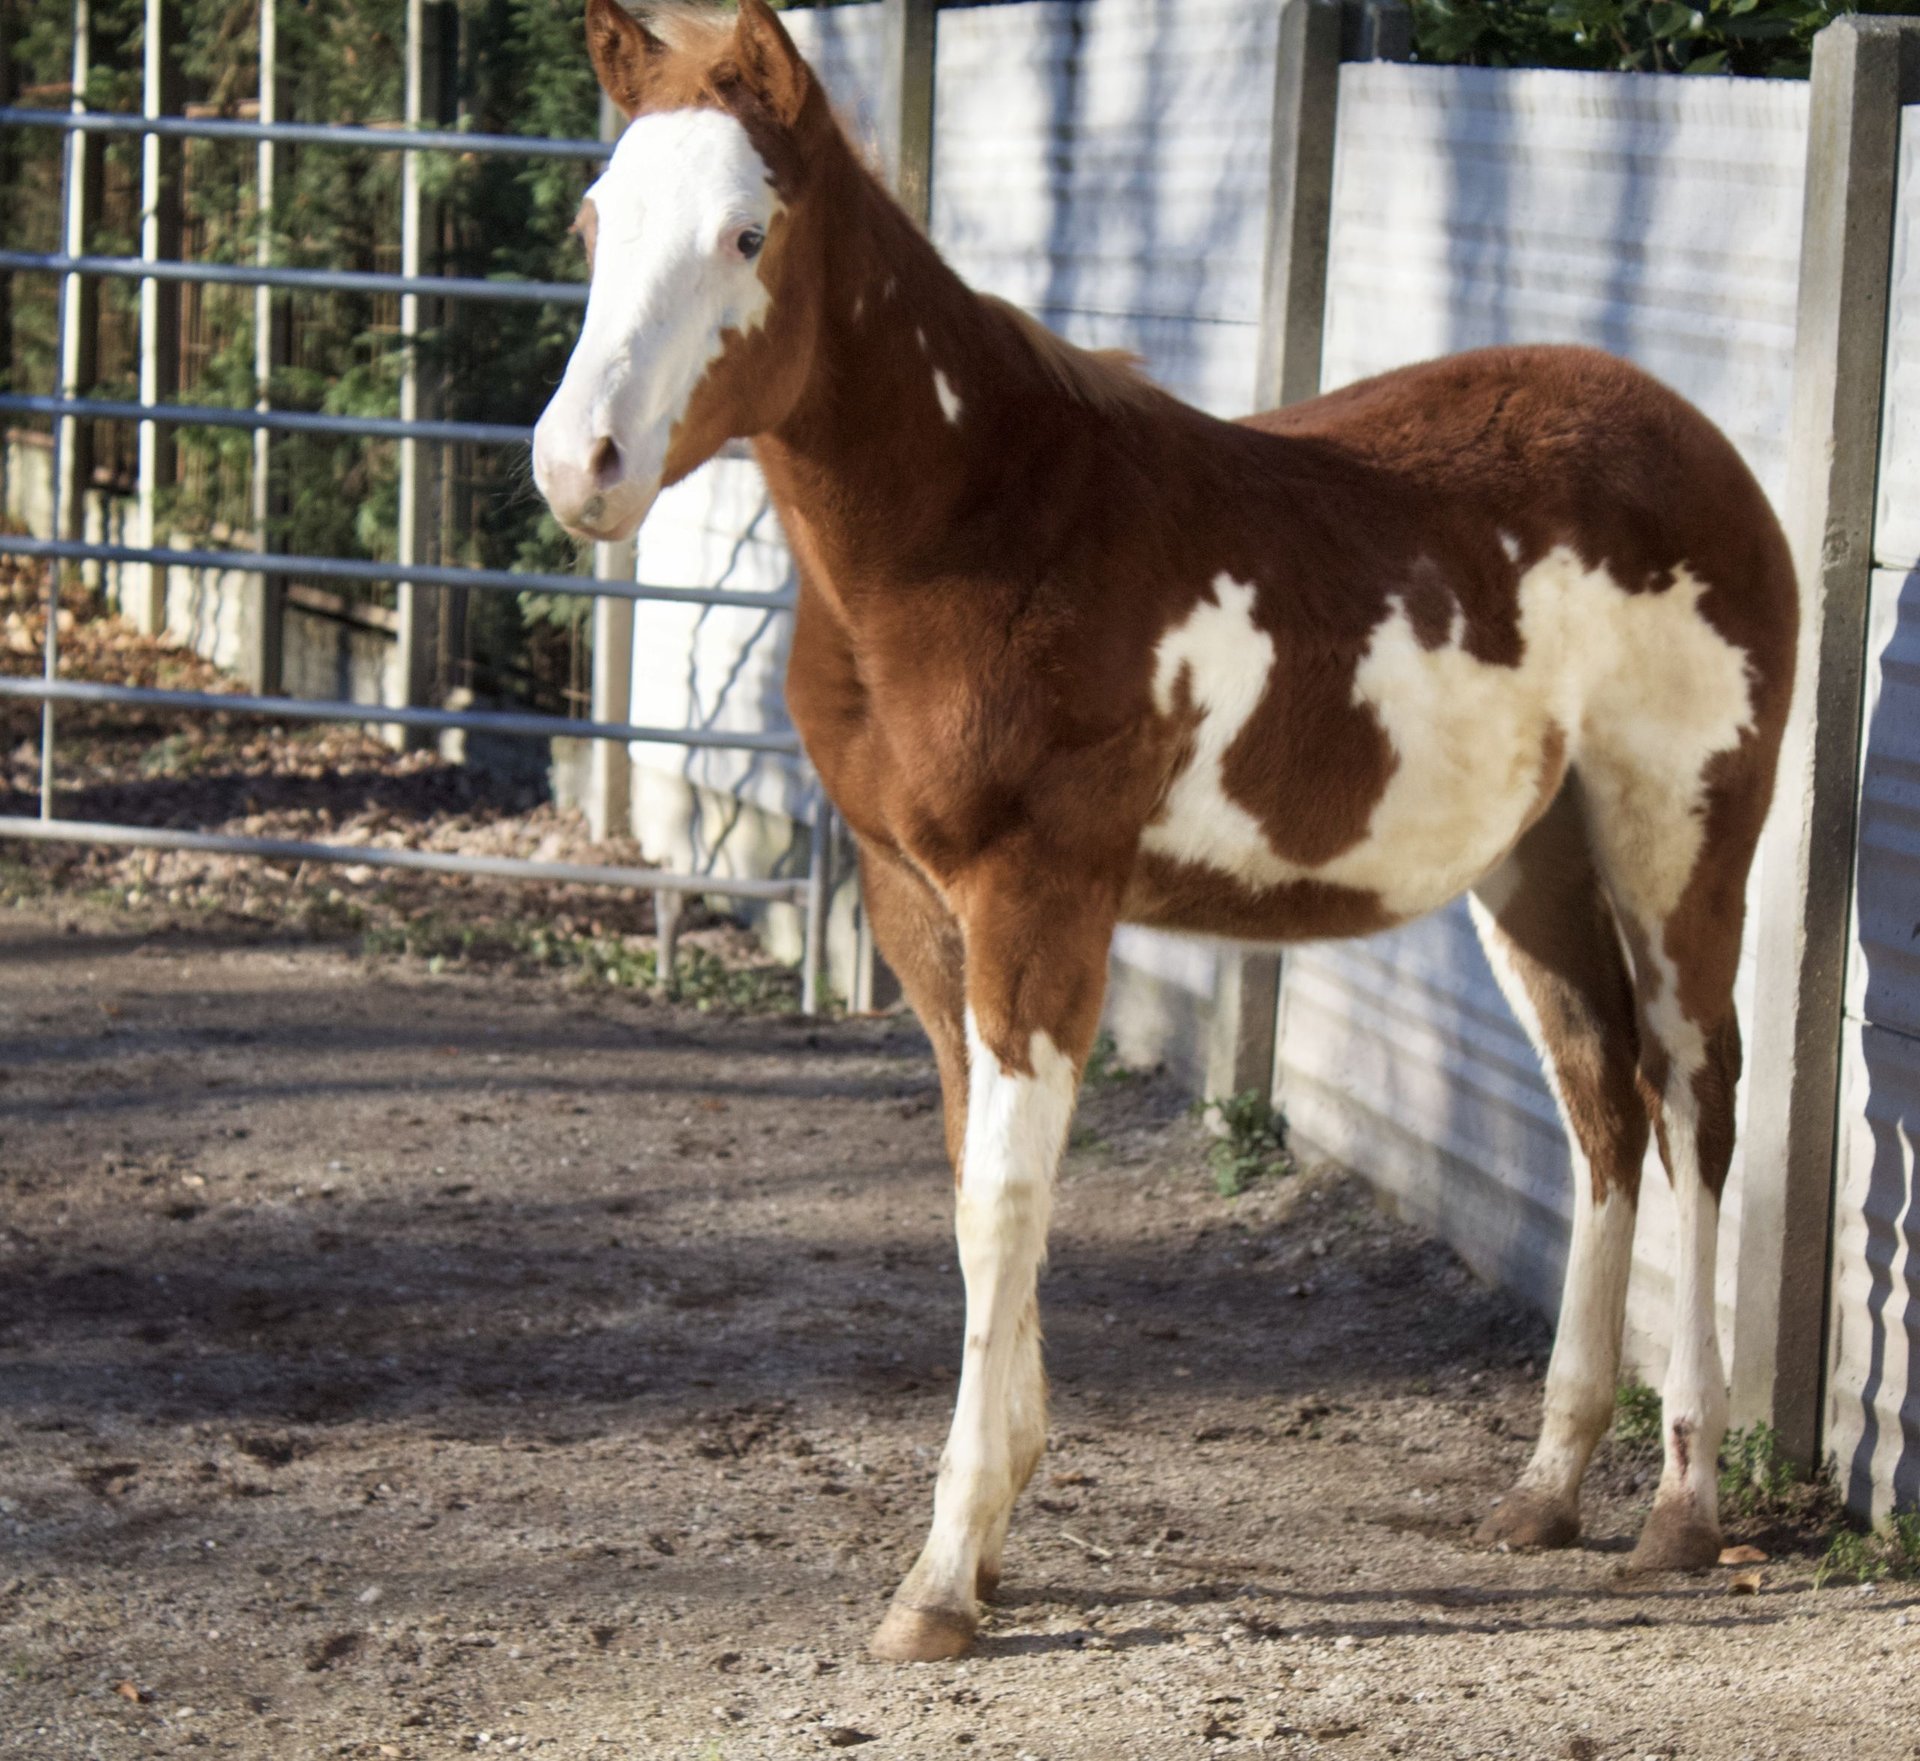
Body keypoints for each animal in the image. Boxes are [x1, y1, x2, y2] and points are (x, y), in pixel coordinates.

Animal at [532, 0, 1797, 1662]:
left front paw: (943, 1579)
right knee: (1602, 1104)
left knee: (1698, 1099)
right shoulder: (915, 901)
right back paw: (1543, 1491)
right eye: (592, 222)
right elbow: (971, 1181)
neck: (971, 527)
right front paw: (1000, 1525)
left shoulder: (1042, 897)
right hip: (1533, 865)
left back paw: (1682, 1511)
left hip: (1677, 834)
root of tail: (1708, 451)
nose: (580, 466)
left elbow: (1007, 1201)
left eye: (748, 232)